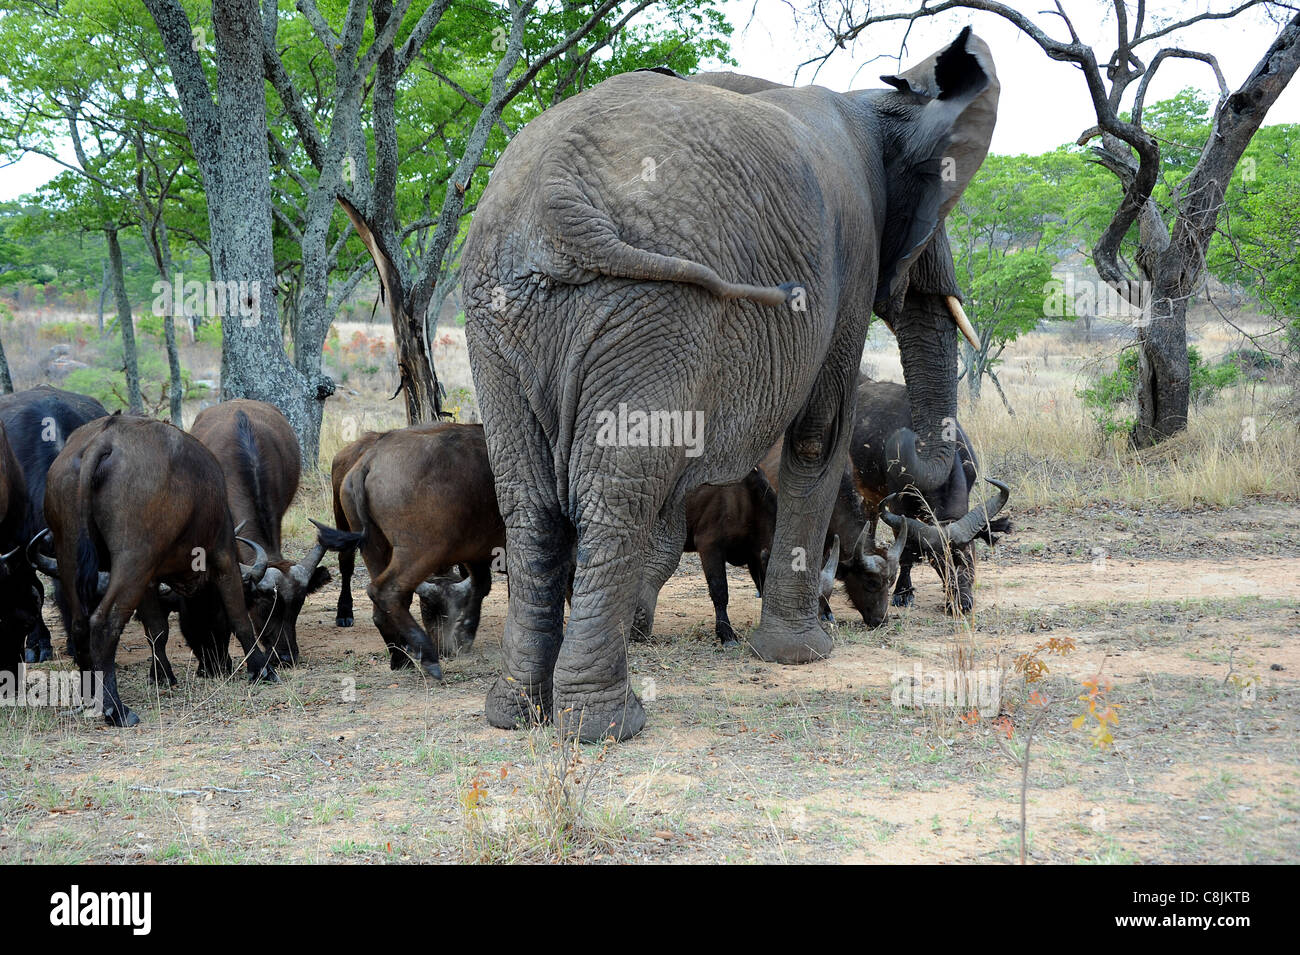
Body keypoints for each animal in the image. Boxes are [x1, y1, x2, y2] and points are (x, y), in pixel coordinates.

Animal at [458, 28, 999, 741]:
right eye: (936, 219)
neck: (872, 100)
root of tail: (554, 196)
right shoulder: (851, 252)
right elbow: (820, 434)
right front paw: (803, 654)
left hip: (501, 310)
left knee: (529, 501)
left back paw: (517, 714)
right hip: (654, 312)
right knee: (614, 498)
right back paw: (605, 724)